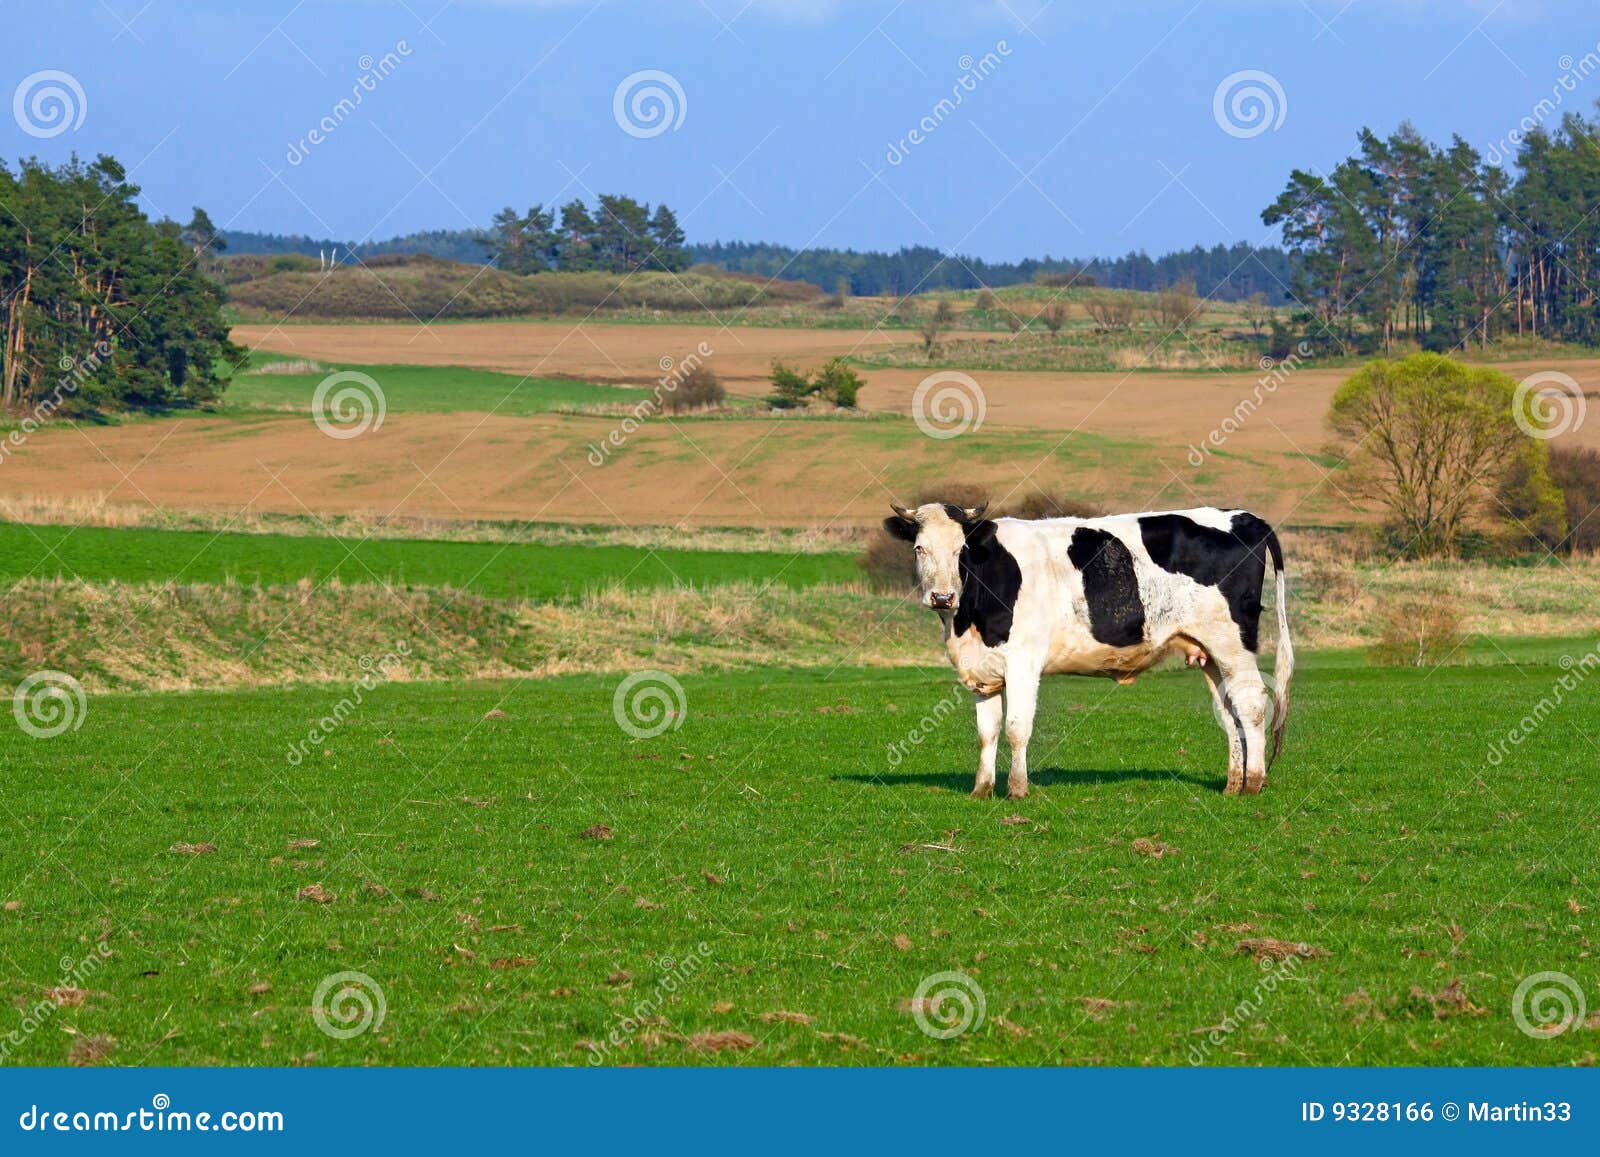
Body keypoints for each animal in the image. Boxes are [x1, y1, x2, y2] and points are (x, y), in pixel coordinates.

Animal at [883, 502, 1293, 798]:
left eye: (961, 550)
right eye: (919, 548)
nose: (942, 597)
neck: (966, 620)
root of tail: (1245, 516)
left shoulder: (1023, 663)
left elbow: (1016, 728)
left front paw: (1017, 790)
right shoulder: (981, 670)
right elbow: (988, 731)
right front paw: (981, 790)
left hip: (1233, 644)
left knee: (1252, 704)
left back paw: (1253, 783)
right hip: (1209, 652)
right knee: (1228, 711)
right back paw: (1232, 785)